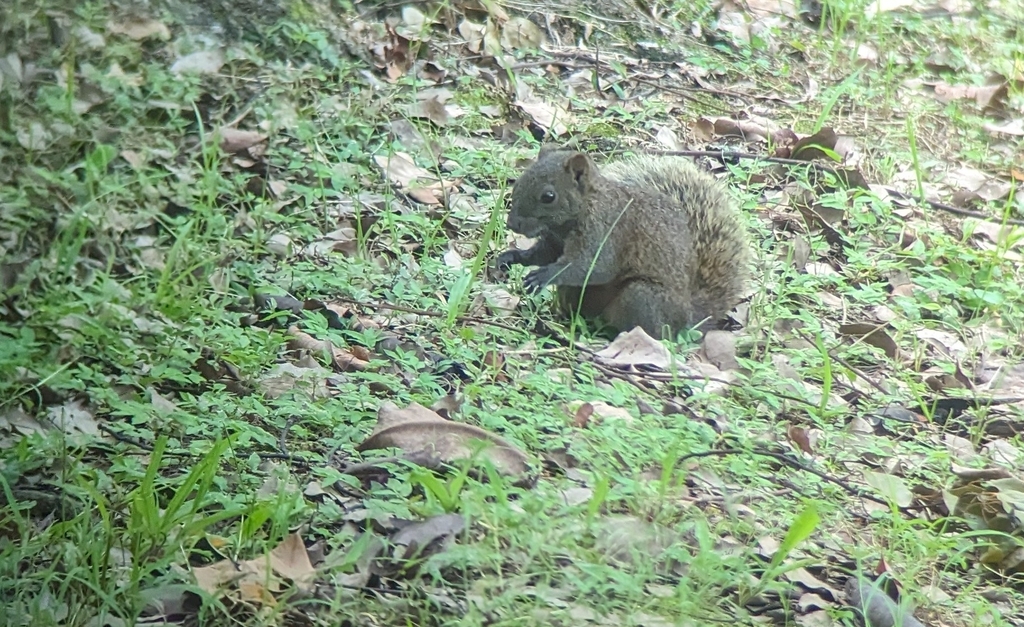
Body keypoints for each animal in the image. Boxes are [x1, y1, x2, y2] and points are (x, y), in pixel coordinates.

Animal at [497, 147, 750, 338]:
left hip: (641, 297)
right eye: (520, 180)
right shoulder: (555, 242)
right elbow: (545, 254)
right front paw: (511, 256)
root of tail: (688, 317)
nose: (512, 224)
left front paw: (544, 275)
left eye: (548, 196)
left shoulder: (606, 230)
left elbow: (594, 267)